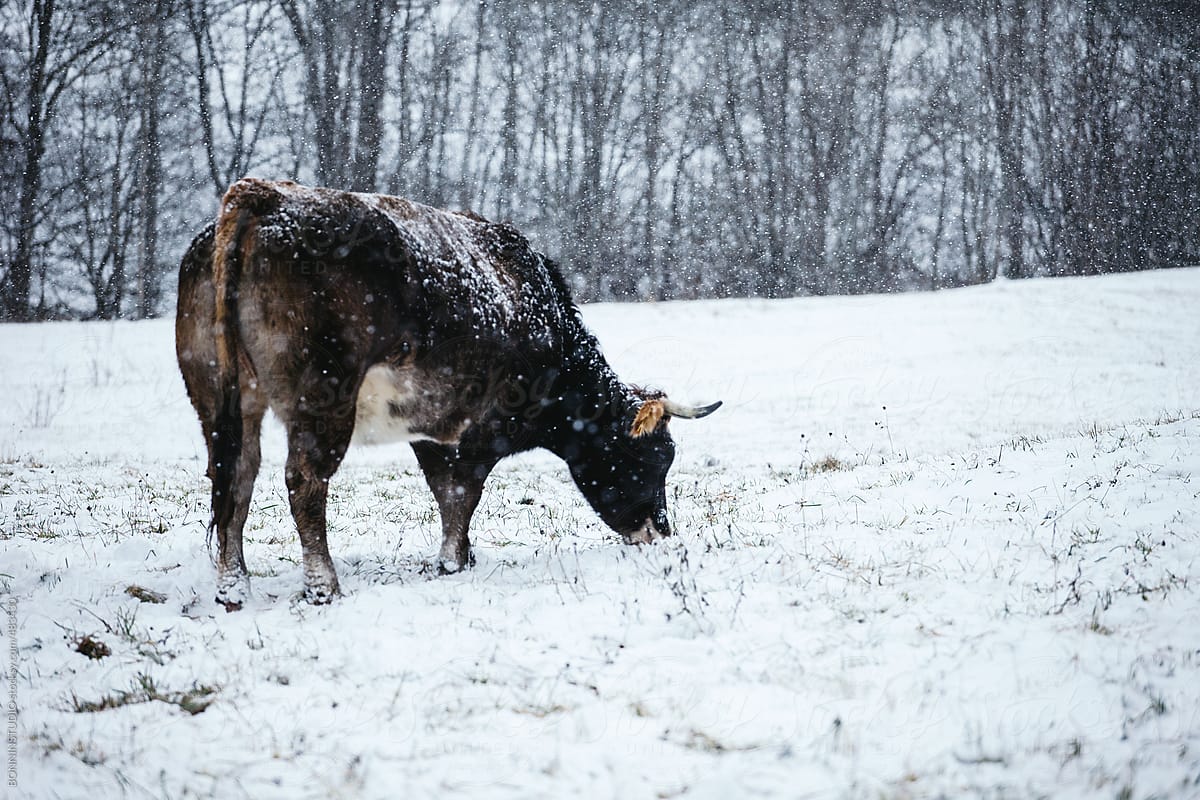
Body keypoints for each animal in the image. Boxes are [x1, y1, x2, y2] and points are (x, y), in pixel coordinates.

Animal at [176, 178, 720, 609]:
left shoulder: (429, 425)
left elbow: (443, 488)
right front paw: (454, 560)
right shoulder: (481, 428)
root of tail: (265, 195)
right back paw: (322, 586)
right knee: (304, 482)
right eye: (652, 457)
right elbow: (462, 493)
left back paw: (233, 587)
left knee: (235, 475)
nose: (662, 532)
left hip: (218, 398)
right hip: (323, 397)